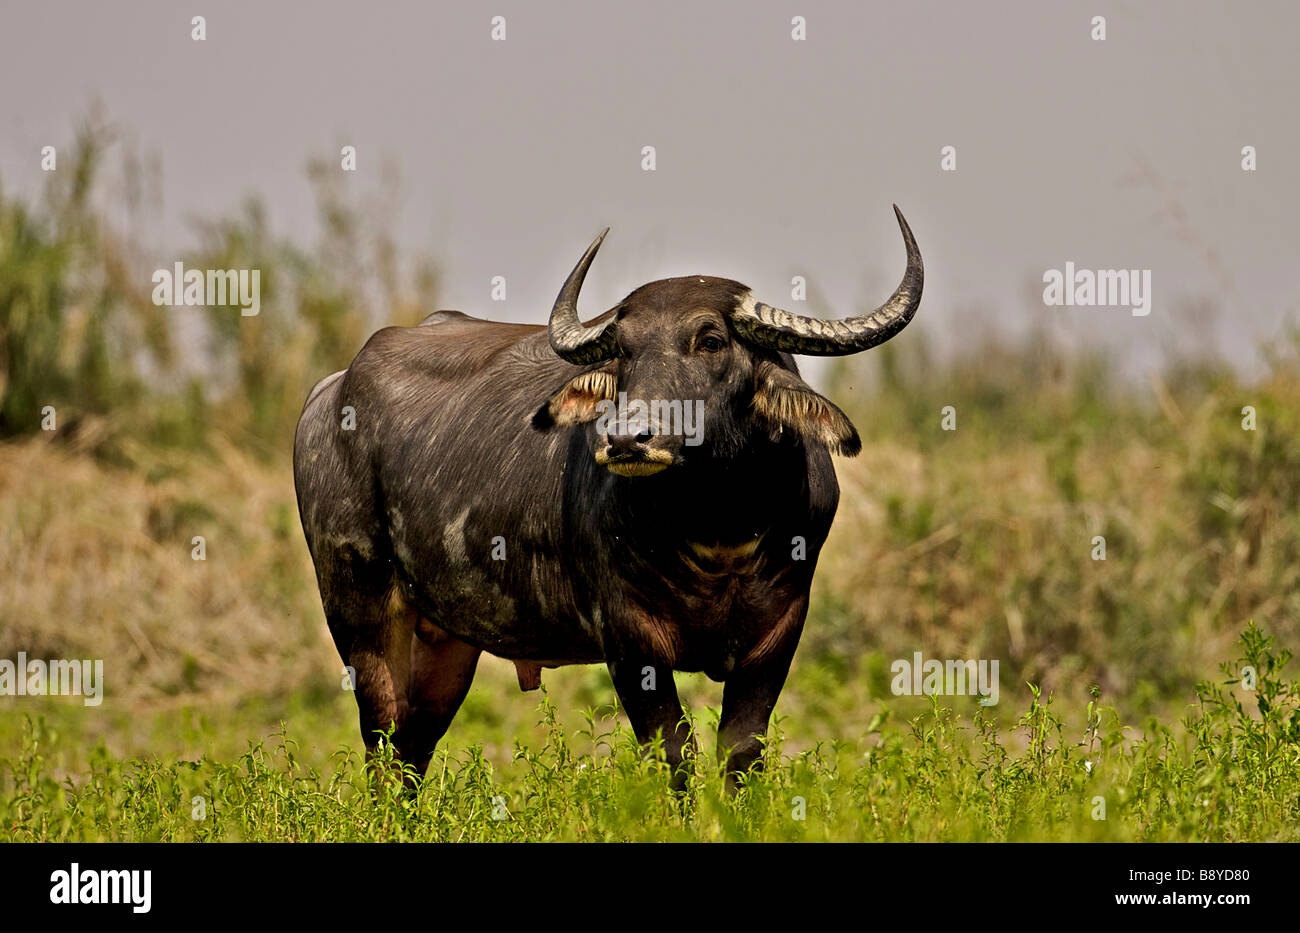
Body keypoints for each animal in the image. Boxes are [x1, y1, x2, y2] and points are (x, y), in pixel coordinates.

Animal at [293, 206, 923, 791]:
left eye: (711, 340)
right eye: (624, 351)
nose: (625, 438)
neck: (717, 529)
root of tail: (330, 393)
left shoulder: (780, 629)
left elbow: (741, 753)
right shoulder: (627, 636)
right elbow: (673, 752)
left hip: (445, 641)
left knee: (413, 748)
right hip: (359, 610)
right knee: (381, 735)